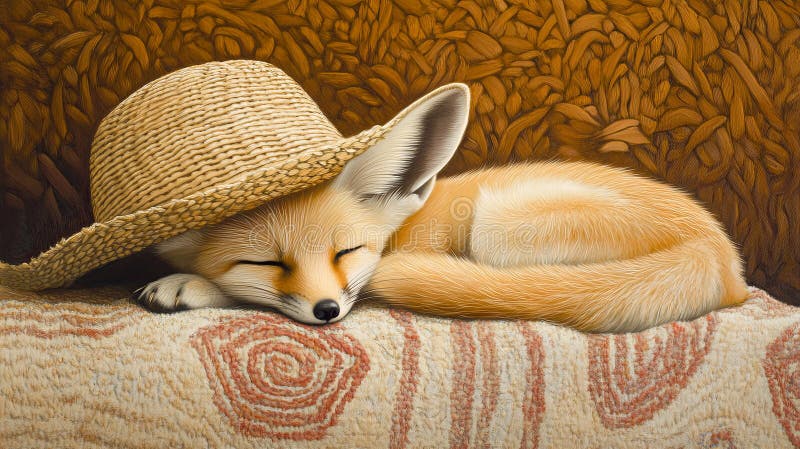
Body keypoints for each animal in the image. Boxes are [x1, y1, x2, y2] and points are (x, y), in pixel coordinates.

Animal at [136, 86, 749, 332]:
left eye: (347, 251)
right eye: (267, 263)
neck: (402, 230)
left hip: (500, 224)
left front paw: (191, 286)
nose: (327, 311)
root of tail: (720, 251)